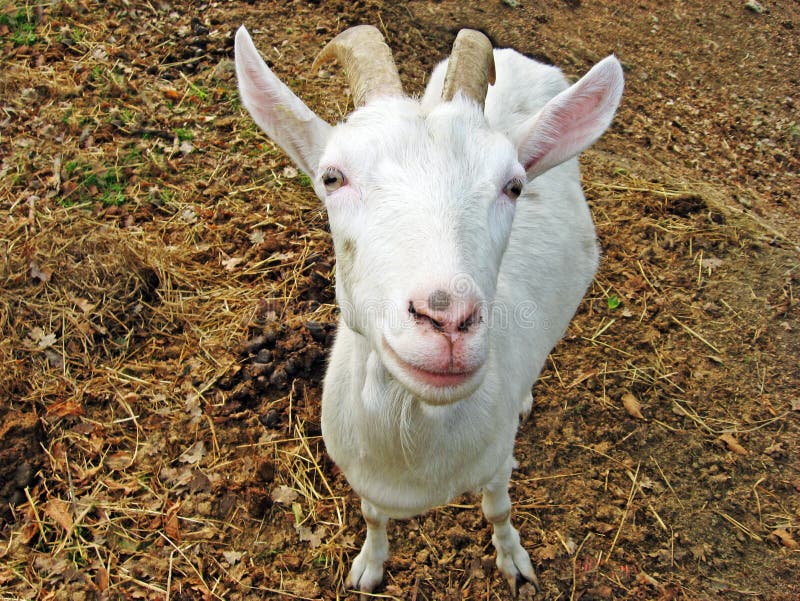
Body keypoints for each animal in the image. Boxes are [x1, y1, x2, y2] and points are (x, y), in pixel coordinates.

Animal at [235, 25, 623, 594]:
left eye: (514, 185)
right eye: (332, 178)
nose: (447, 320)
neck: (411, 436)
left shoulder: (496, 461)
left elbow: (498, 510)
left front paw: (515, 564)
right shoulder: (362, 475)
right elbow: (372, 516)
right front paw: (369, 568)